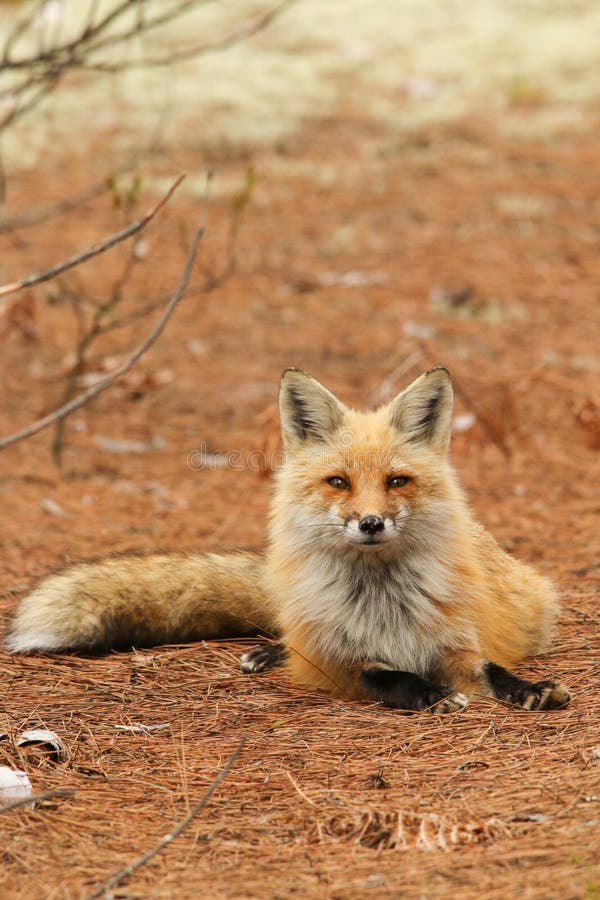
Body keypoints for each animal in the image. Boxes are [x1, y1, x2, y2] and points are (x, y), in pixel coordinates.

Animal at [7, 367, 570, 713]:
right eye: (339, 482)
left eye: (397, 481)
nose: (371, 523)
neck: (382, 605)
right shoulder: (338, 664)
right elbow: (387, 677)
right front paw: (432, 695)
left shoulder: (455, 643)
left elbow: (491, 670)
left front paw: (531, 689)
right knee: (289, 632)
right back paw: (268, 653)